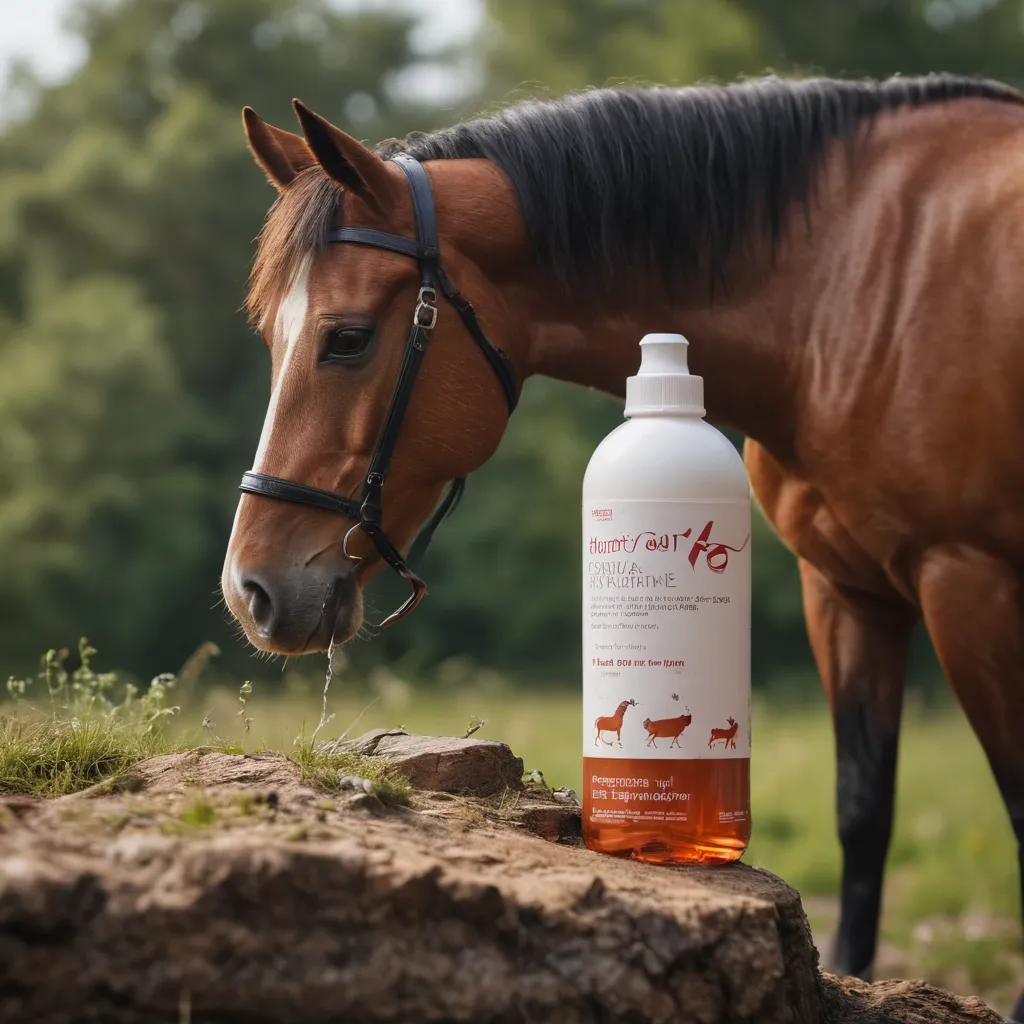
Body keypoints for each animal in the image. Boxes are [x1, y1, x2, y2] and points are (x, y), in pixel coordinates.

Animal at [221, 75, 1024, 1017]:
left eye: (346, 338)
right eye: (269, 335)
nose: (251, 590)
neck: (853, 294)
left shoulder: (968, 584)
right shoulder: (846, 590)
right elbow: (863, 815)